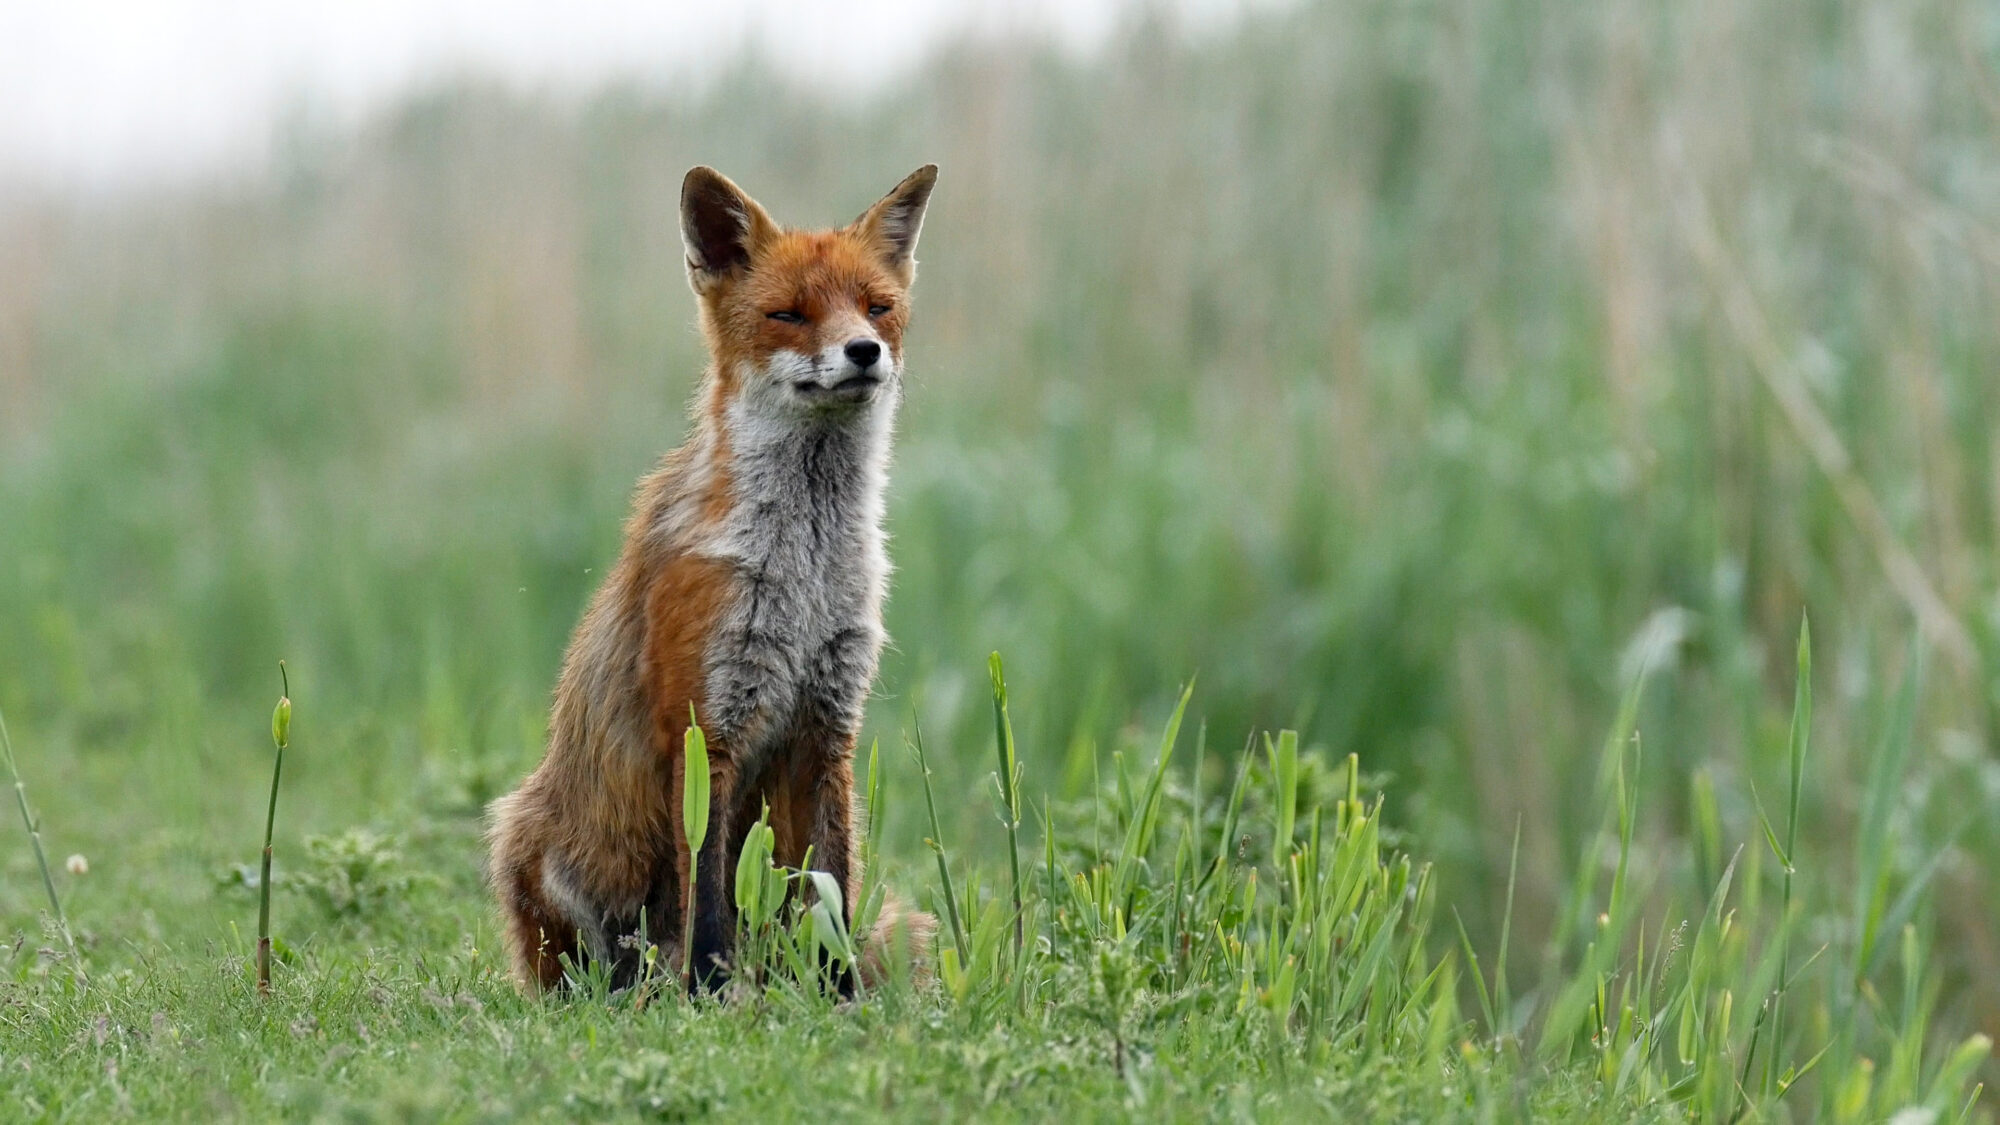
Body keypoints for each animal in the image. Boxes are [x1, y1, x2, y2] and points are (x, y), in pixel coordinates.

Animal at [486, 164, 940, 995]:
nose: (863, 351)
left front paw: (836, 993)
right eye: (789, 314)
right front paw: (710, 993)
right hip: (528, 838)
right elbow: (706, 896)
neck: (806, 564)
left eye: (877, 307)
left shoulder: (826, 724)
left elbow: (831, 885)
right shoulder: (705, 727)